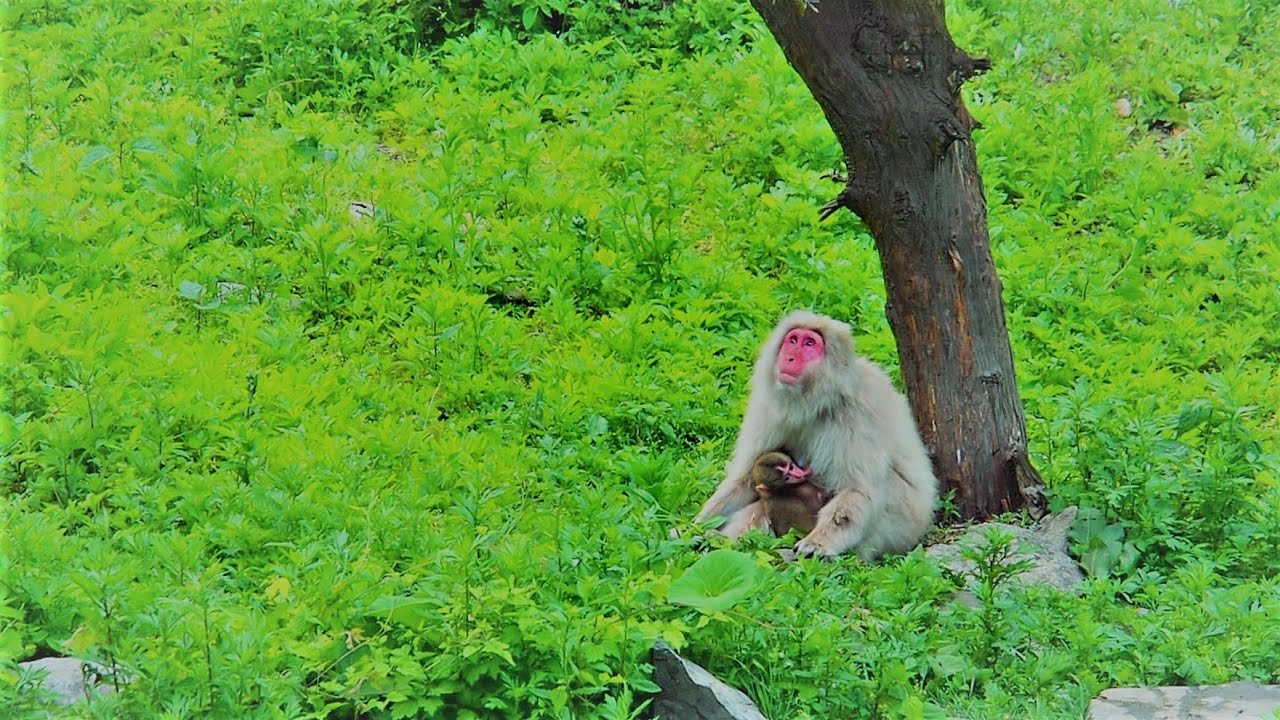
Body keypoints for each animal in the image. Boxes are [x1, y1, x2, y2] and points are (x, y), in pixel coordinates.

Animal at [694, 311, 939, 561]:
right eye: (793, 340)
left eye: (809, 344)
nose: (790, 357)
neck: (819, 402)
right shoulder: (768, 405)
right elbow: (747, 478)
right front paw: (696, 526)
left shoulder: (858, 412)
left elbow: (858, 489)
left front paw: (818, 543)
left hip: (900, 528)